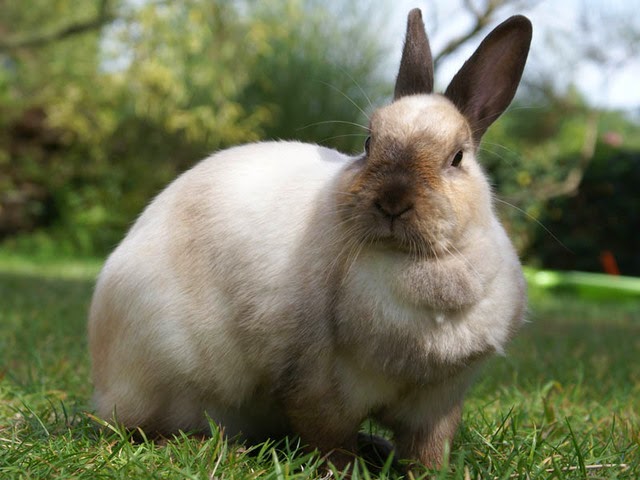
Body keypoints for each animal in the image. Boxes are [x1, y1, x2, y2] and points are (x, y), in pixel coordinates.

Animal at [88, 8, 531, 471]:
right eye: (369, 143)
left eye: (457, 158)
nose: (392, 201)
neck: (418, 263)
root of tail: (104, 387)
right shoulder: (317, 382)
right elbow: (329, 439)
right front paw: (346, 473)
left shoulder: (438, 401)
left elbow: (427, 451)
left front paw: (425, 474)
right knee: (145, 430)